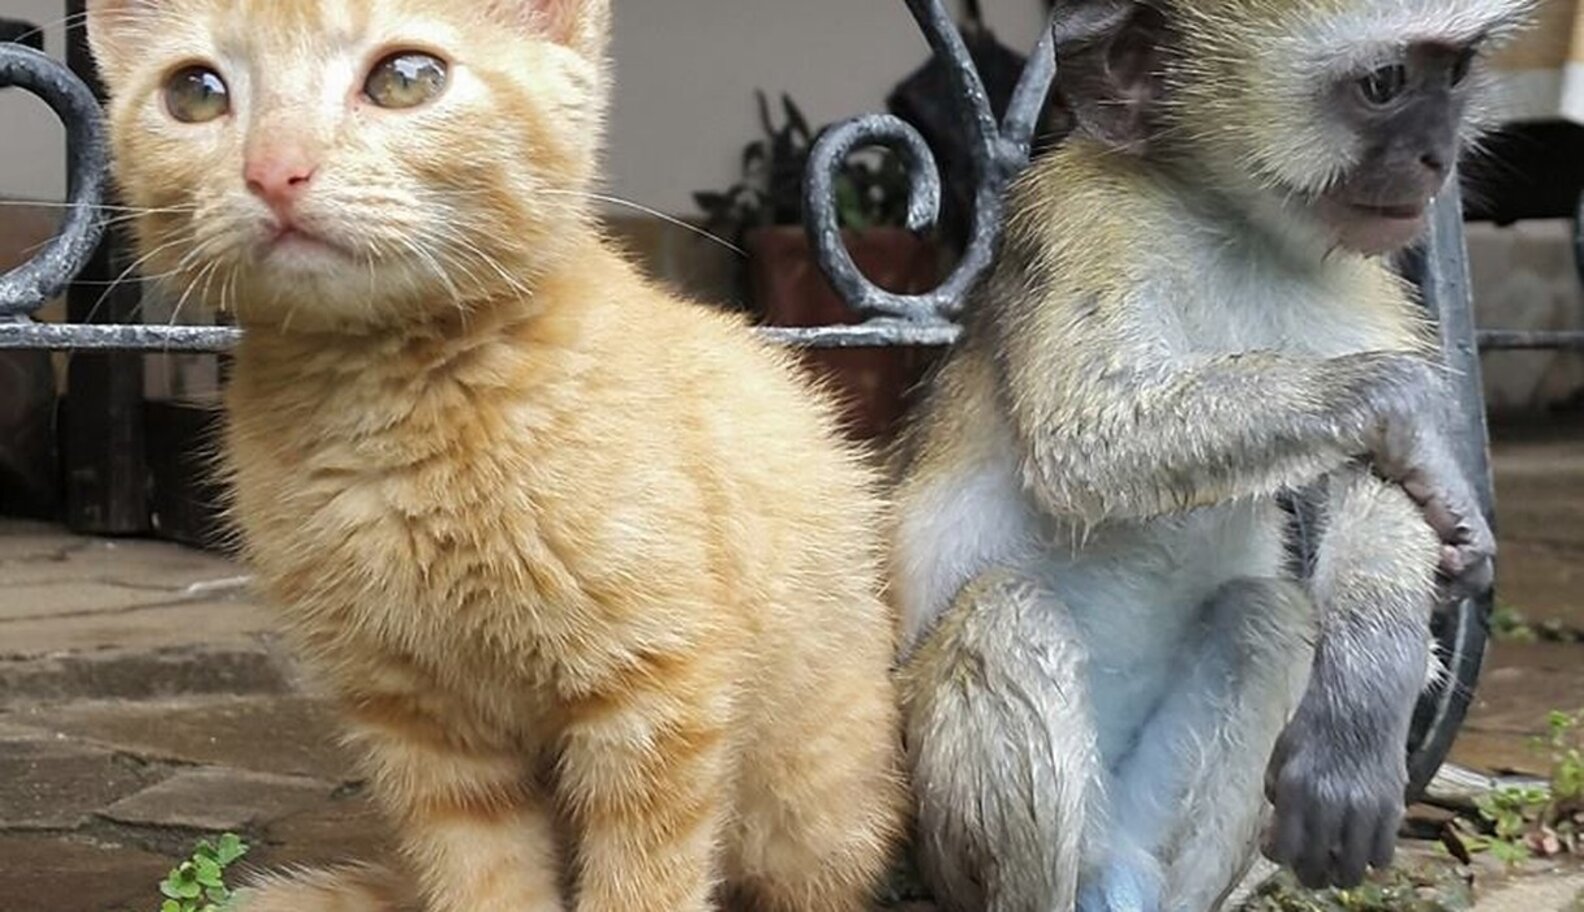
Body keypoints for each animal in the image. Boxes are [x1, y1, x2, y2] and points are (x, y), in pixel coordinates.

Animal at [888, 0, 1527, 909]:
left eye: (1454, 73)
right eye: (1383, 84)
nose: (1437, 159)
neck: (1238, 228)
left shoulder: (1368, 281)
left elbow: (1368, 485)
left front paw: (1364, 704)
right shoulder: (1083, 214)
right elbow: (1084, 439)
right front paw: (1412, 406)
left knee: (1267, 620)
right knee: (1007, 613)